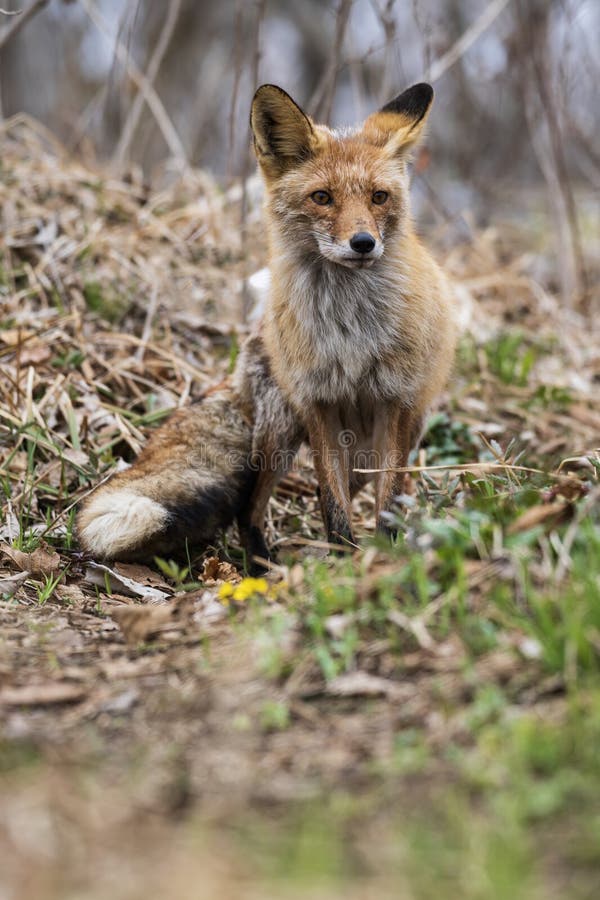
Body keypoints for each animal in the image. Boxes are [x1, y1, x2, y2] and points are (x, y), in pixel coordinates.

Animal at [77, 82, 457, 570]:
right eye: (322, 197)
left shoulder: (395, 403)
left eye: (378, 197)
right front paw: (343, 562)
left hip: (390, 434)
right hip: (280, 432)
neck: (350, 333)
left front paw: (380, 559)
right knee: (251, 507)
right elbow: (333, 506)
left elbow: (384, 501)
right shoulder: (318, 403)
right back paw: (262, 565)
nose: (363, 243)